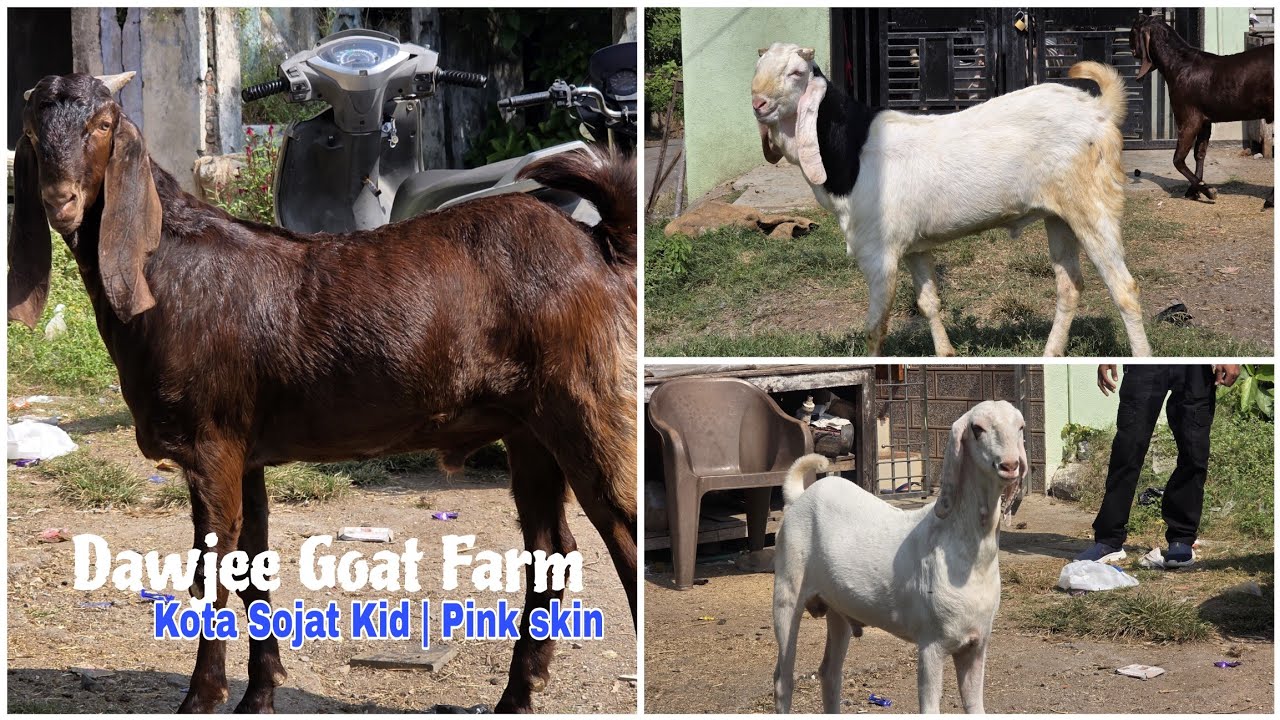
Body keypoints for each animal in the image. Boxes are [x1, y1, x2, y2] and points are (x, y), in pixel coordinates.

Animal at [9, 72, 637, 714]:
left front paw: (202, 697)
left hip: (583, 401)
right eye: (31, 130)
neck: (165, 270)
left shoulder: (211, 444)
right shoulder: (244, 453)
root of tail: (595, 242)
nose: (61, 201)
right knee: (551, 550)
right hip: (528, 429)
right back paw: (517, 694)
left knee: (624, 533)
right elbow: (251, 566)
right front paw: (259, 693)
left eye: (103, 125)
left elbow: (212, 571)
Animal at [751, 43, 1152, 357]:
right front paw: (946, 353)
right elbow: (928, 302)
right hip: (1059, 215)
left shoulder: (879, 253)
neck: (852, 147)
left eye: (796, 73)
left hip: (1092, 204)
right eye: (757, 70)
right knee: (1070, 287)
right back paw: (1051, 352)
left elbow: (875, 327)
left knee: (1124, 288)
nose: (759, 103)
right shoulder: (913, 246)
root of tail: (1100, 110)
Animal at [772, 400, 1026, 714]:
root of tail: (799, 497)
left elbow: (976, 706)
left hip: (837, 608)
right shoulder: (932, 645)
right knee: (783, 679)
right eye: (977, 429)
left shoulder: (976, 645)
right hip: (787, 594)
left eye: (1021, 427)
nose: (1010, 465)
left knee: (830, 672)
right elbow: (929, 707)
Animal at [1130, 14, 1274, 208]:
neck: (1179, 64)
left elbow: (1178, 159)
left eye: (1133, 29)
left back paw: (1270, 200)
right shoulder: (1205, 120)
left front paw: (1208, 191)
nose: (1129, 45)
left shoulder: (1188, 118)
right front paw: (1194, 190)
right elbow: (1199, 153)